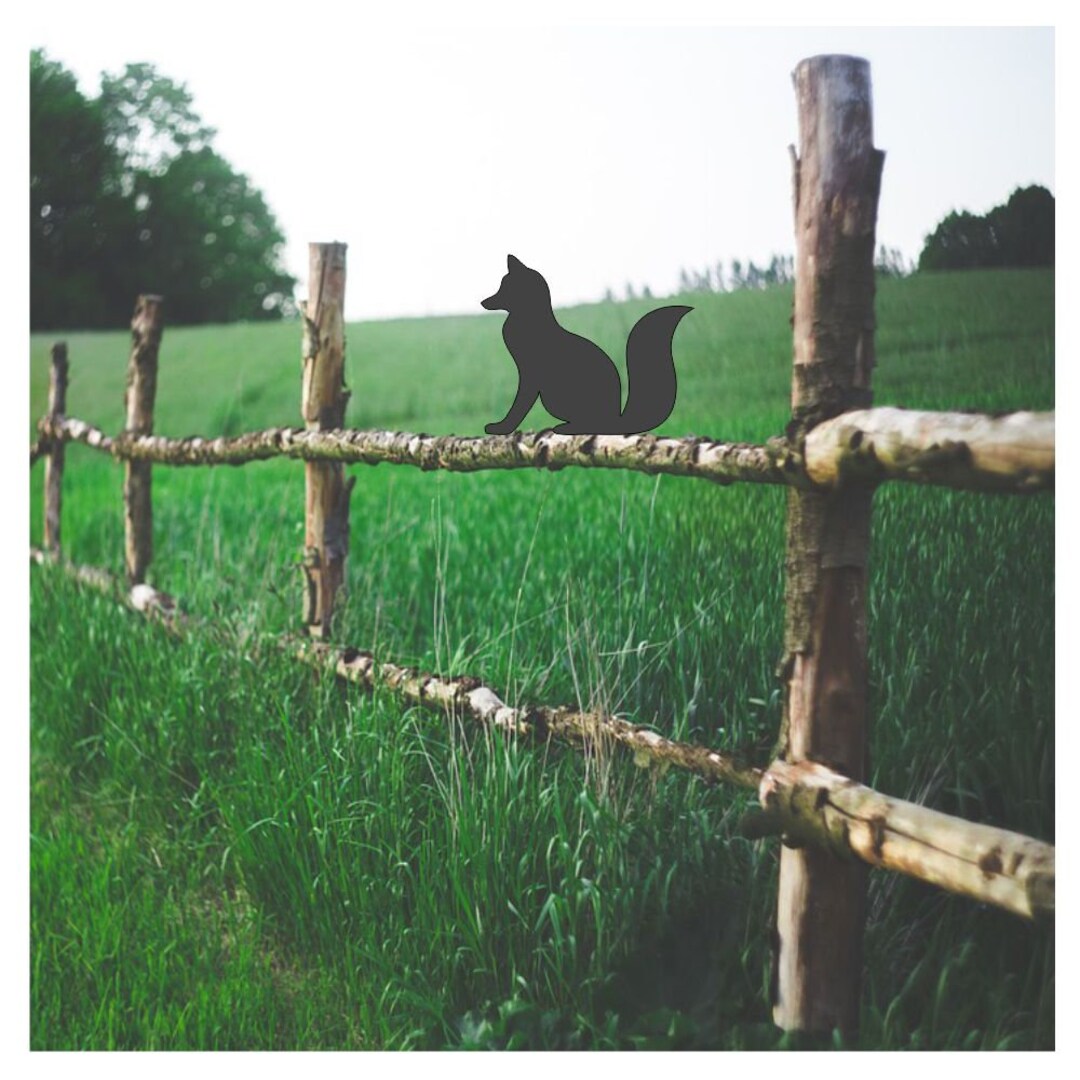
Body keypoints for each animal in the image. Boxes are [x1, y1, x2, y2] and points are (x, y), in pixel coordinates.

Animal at [482, 255, 692, 435]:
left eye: (505, 288)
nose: (483, 302)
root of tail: (617, 420)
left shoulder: (530, 375)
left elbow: (518, 406)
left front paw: (501, 428)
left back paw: (566, 428)